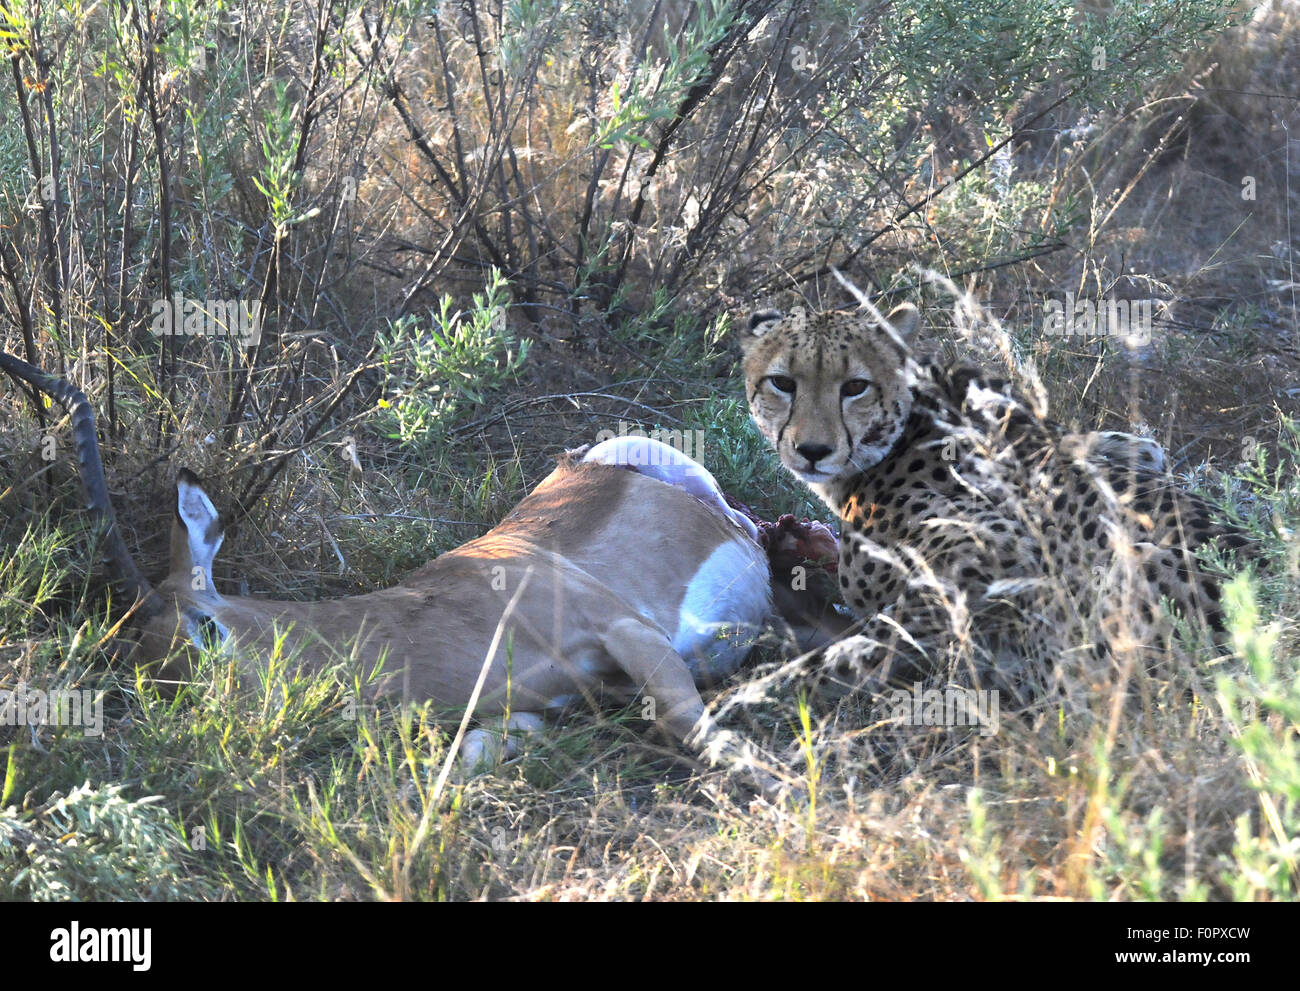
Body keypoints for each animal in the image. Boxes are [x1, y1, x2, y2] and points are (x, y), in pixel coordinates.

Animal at [0, 349, 787, 788]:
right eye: (148, 667)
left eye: (205, 628)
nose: (230, 723)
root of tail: (585, 463)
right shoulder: (534, 710)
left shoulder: (625, 628)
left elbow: (694, 727)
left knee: (754, 526)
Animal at [740, 302, 1252, 704]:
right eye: (782, 383)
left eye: (854, 386)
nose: (812, 450)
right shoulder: (1127, 450)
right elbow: (1137, 449)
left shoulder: (998, 546)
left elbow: (877, 631)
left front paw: (783, 682)